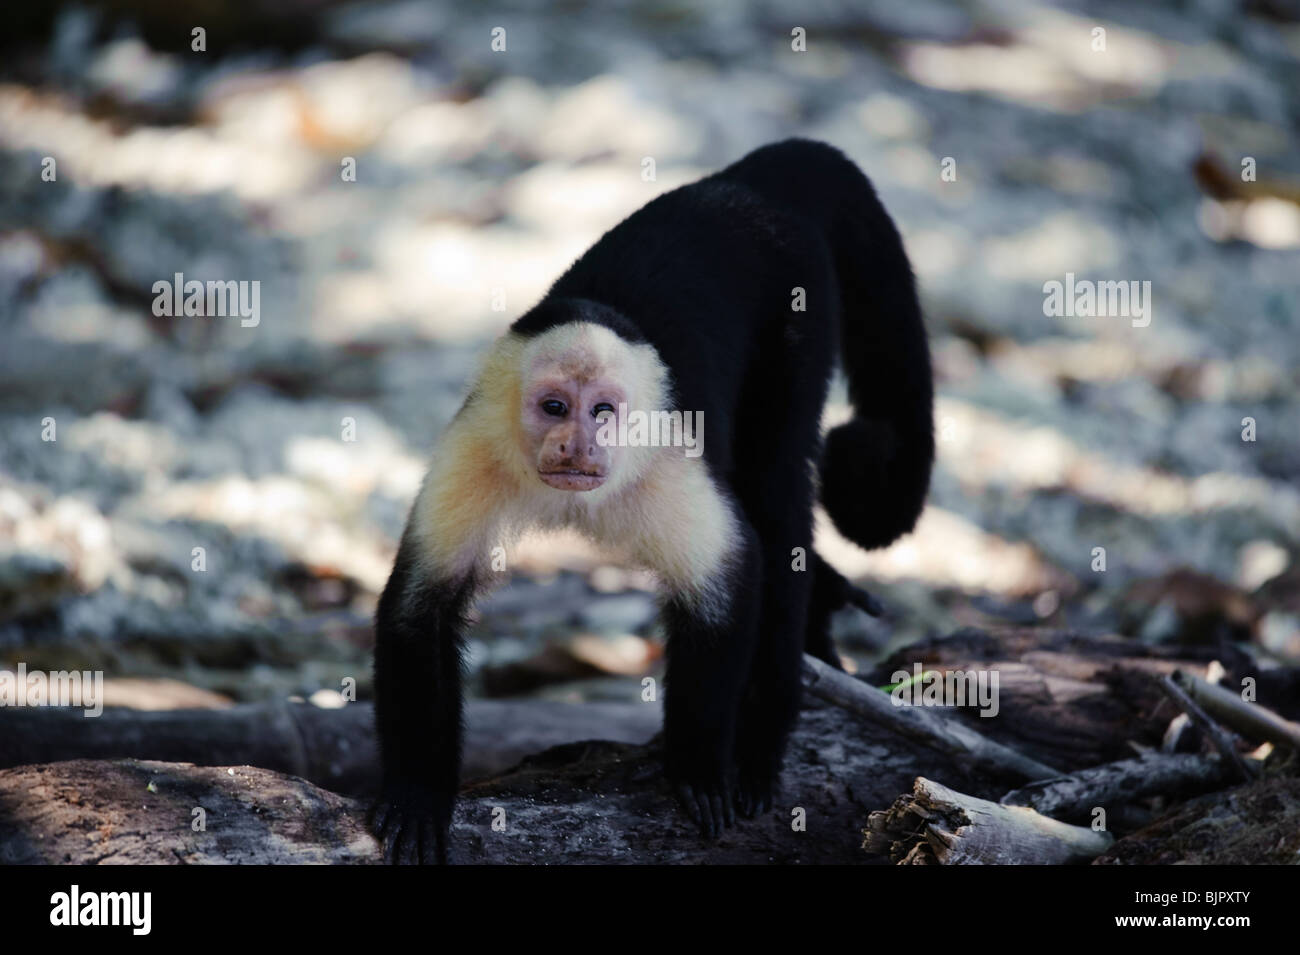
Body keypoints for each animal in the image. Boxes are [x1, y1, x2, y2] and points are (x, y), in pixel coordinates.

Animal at [371, 139, 934, 864]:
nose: (578, 444)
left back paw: (766, 729)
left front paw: (700, 766)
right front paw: (417, 791)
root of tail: (742, 182)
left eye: (603, 412)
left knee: (776, 489)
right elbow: (421, 610)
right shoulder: (474, 450)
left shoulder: (665, 454)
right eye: (555, 407)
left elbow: (729, 580)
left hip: (800, 300)